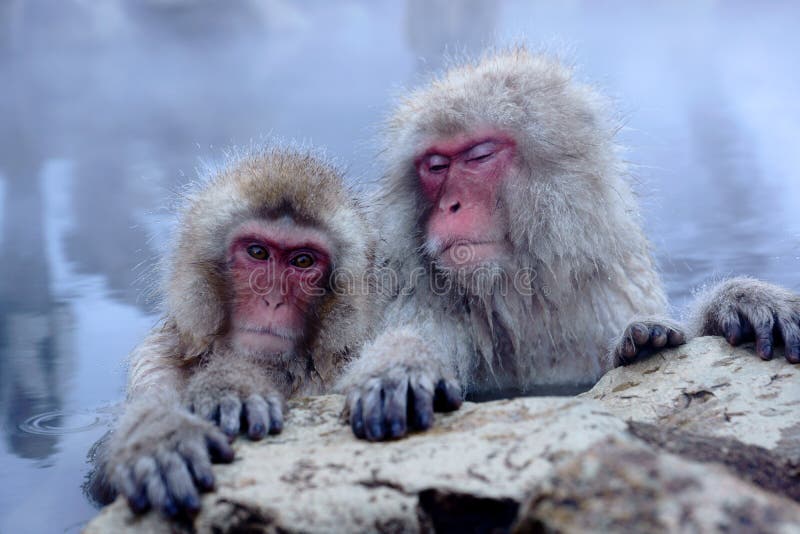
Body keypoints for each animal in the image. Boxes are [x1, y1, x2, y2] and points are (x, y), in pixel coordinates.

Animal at [88, 147, 374, 516]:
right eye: (257, 252)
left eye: (302, 261)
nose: (273, 300)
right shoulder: (155, 359)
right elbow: (100, 474)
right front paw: (163, 436)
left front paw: (231, 383)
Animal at [337, 47, 798, 443]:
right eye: (435, 166)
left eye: (480, 156)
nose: (450, 205)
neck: (524, 295)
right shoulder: (414, 293)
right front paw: (400, 363)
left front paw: (737, 301)